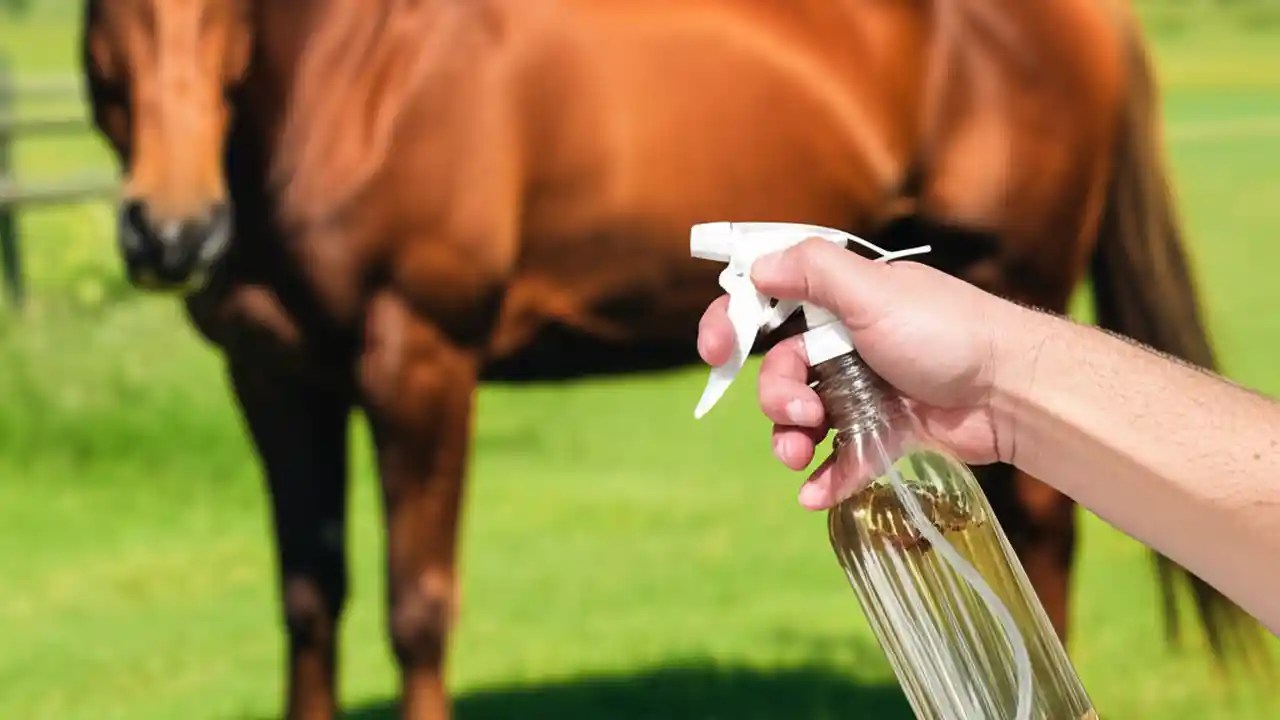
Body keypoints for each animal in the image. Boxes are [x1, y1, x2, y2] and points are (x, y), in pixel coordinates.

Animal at [81, 0, 1260, 717]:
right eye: (104, 13)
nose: (170, 233)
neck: (357, 80)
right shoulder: (275, 379)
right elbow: (308, 603)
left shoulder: (417, 361)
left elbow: (416, 607)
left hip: (1012, 264)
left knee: (1040, 524)